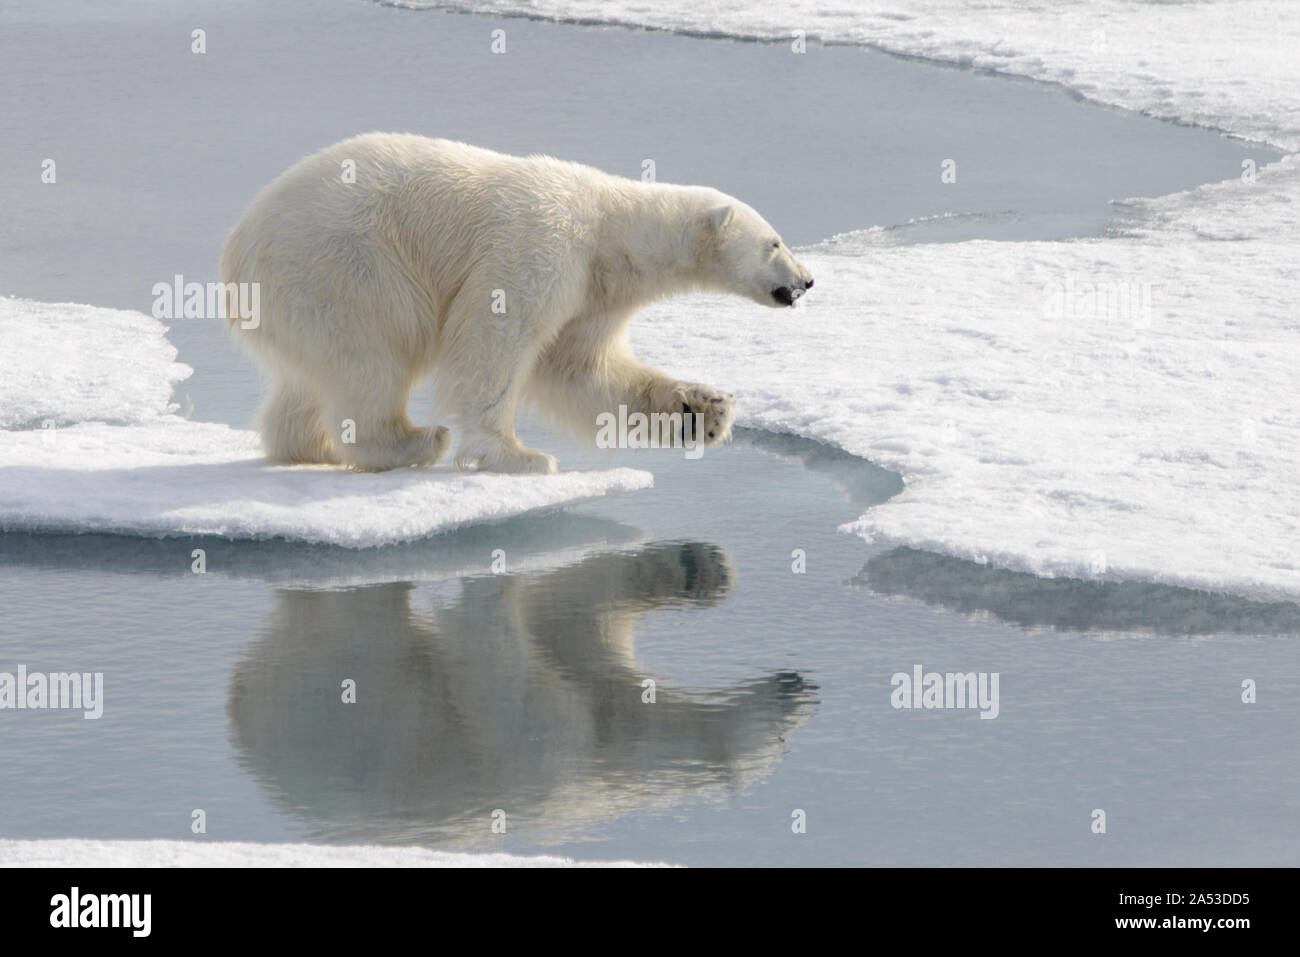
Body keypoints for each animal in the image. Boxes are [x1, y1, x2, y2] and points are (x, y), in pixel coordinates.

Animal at [219, 133, 813, 473]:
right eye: (775, 242)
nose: (807, 281)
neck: (611, 229)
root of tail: (238, 251)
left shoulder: (593, 293)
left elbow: (582, 369)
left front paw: (704, 410)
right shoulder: (545, 244)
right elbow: (495, 334)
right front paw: (520, 456)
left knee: (306, 377)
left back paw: (308, 447)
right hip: (346, 265)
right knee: (372, 359)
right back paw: (411, 442)